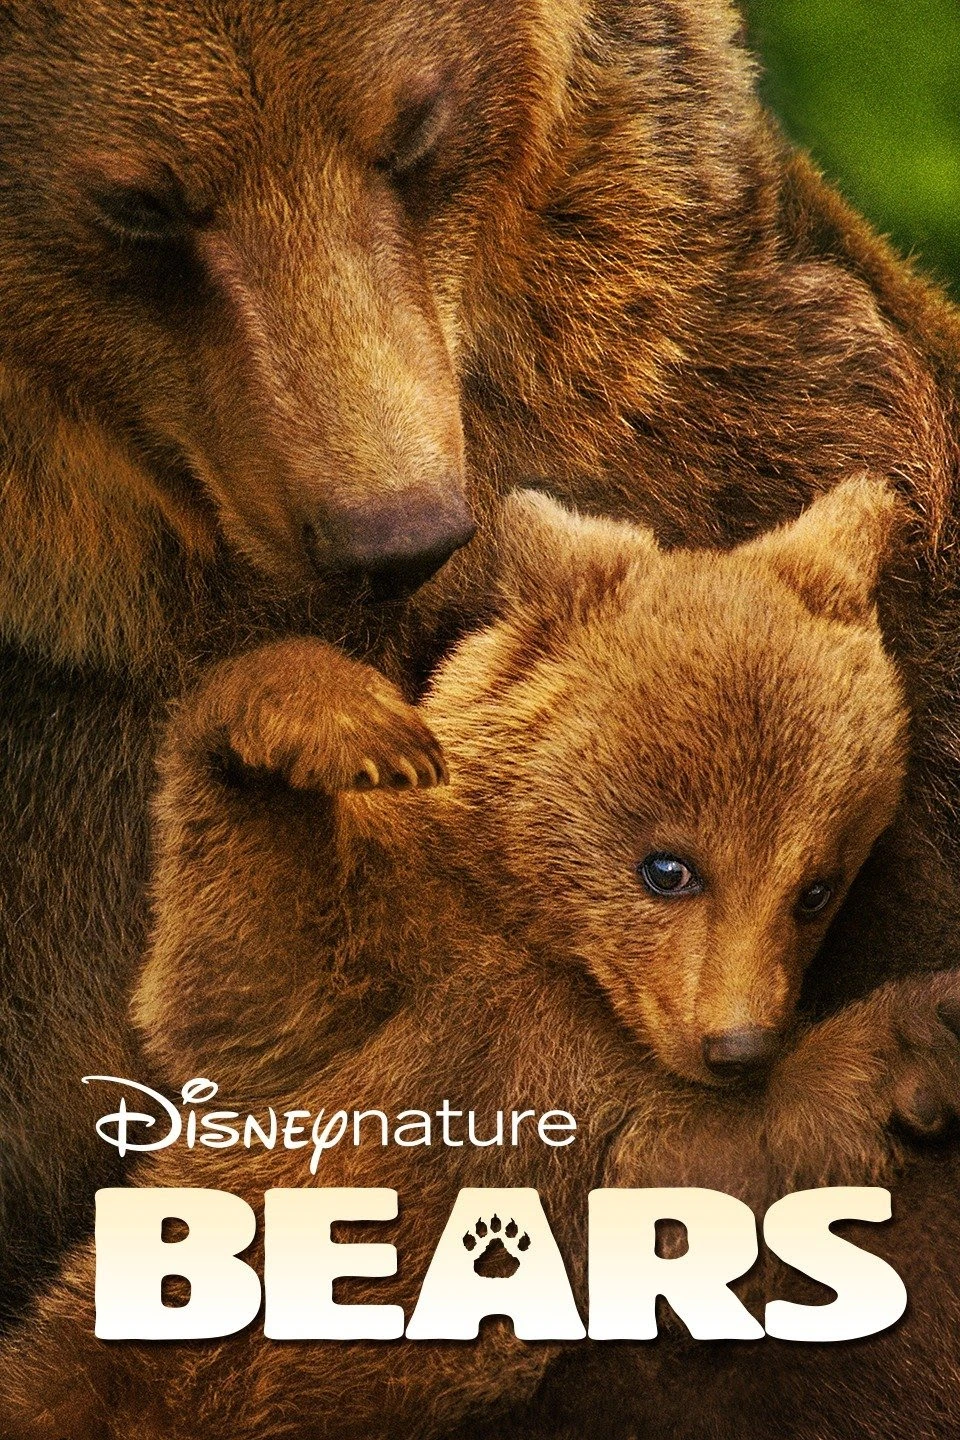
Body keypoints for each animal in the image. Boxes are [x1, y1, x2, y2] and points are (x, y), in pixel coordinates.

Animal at [4, 482, 960, 1440]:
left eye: (816, 889)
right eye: (669, 867)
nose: (738, 1045)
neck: (542, 950)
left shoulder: (601, 1120)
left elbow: (707, 1170)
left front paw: (921, 1037)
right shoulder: (379, 971)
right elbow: (237, 970)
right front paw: (340, 723)